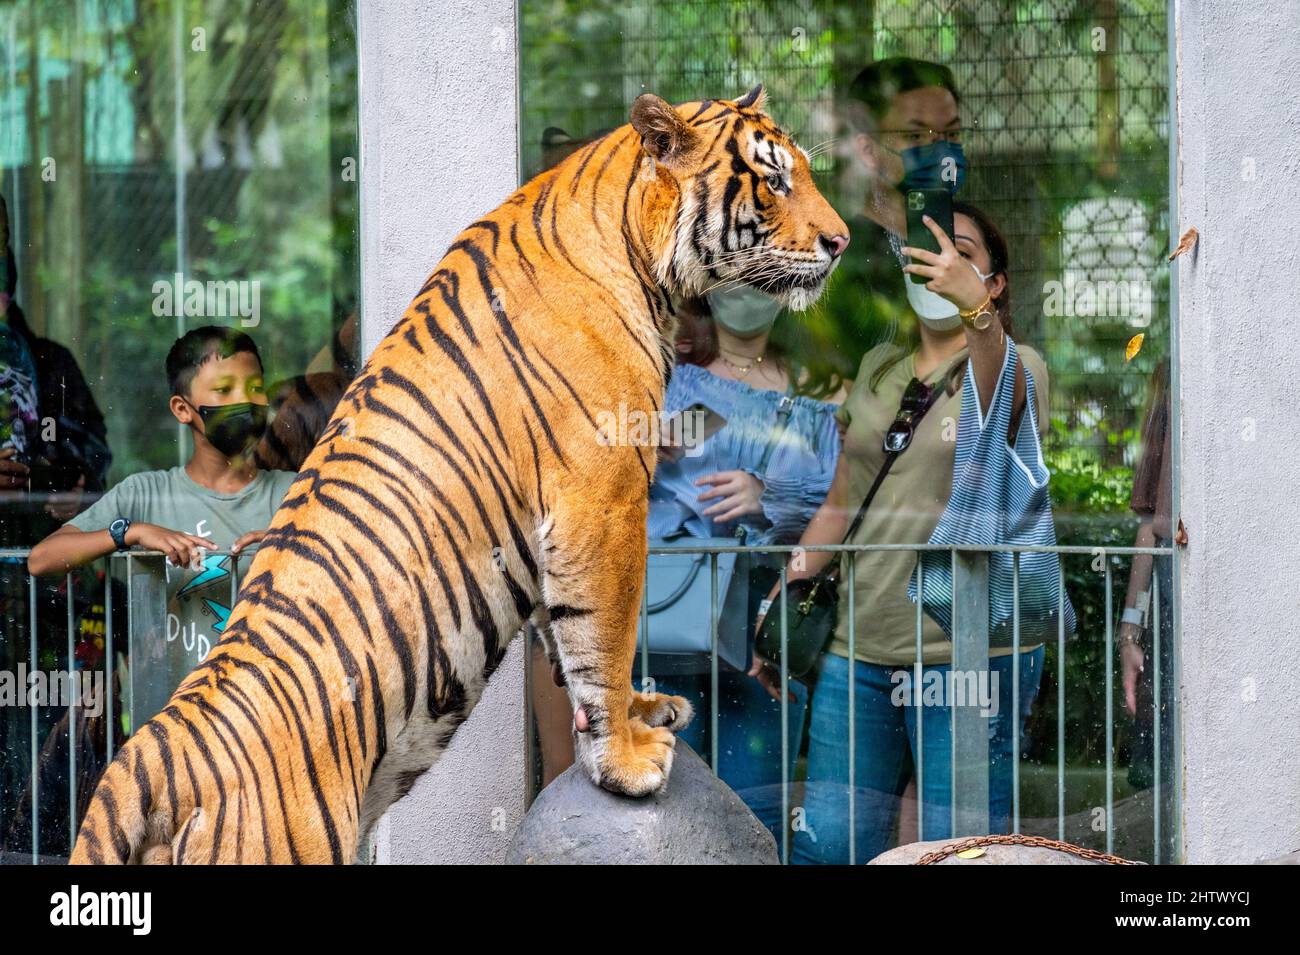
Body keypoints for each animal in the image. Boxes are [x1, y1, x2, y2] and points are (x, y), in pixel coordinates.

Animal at [69, 84, 849, 864]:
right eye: (774, 179)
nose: (841, 242)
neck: (640, 253)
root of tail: (154, 757)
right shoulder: (602, 501)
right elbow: (605, 636)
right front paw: (626, 760)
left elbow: (571, 640)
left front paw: (639, 712)